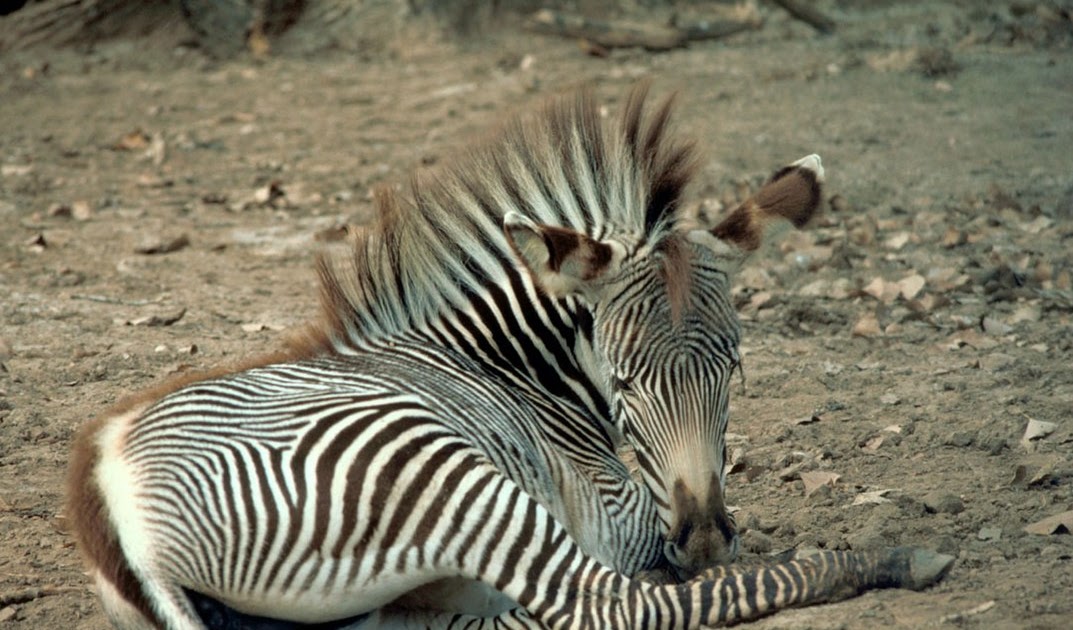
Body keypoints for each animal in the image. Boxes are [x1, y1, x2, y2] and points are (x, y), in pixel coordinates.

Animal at [67, 85, 952, 629]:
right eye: (622, 380)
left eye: (733, 369)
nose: (702, 539)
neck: (514, 369)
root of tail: (116, 508)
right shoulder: (621, 515)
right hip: (446, 476)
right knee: (608, 606)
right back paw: (896, 557)